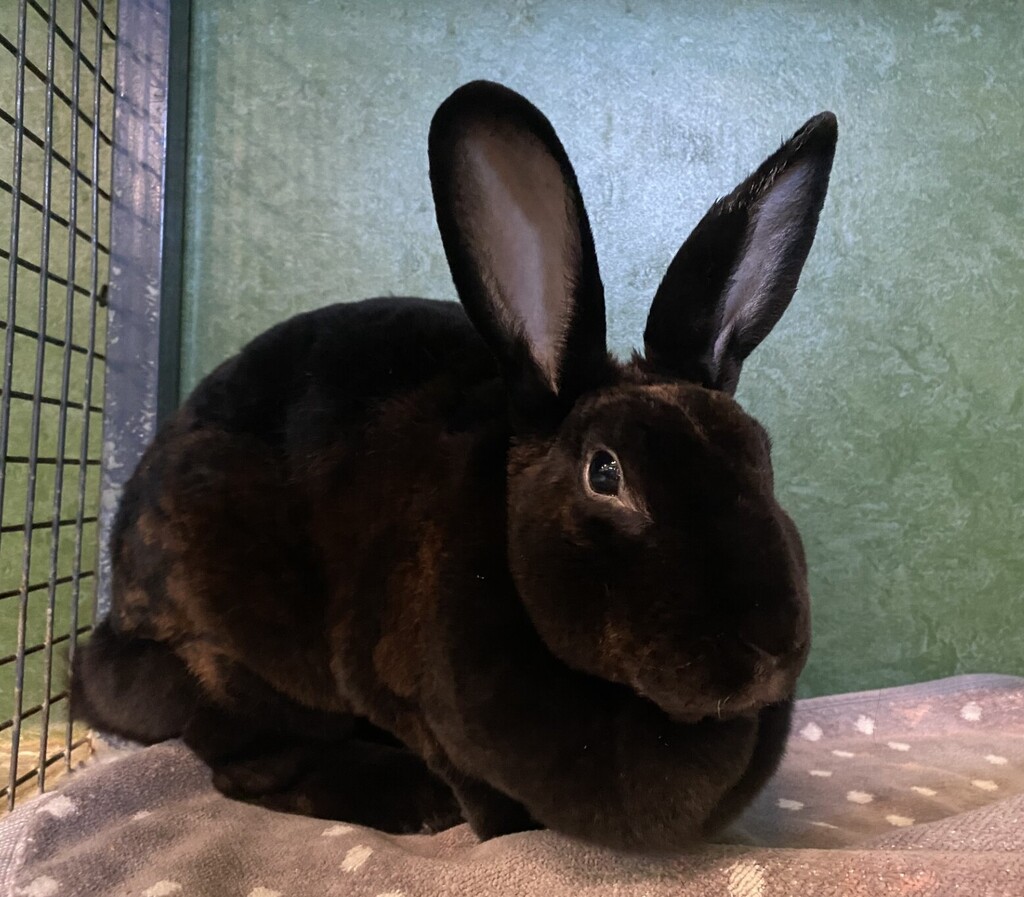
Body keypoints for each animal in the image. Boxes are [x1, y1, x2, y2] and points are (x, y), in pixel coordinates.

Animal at [71, 80, 837, 851]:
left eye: (760, 452)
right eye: (606, 473)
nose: (772, 646)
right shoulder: (404, 697)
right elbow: (478, 794)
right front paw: (498, 829)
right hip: (228, 645)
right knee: (247, 759)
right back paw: (411, 801)